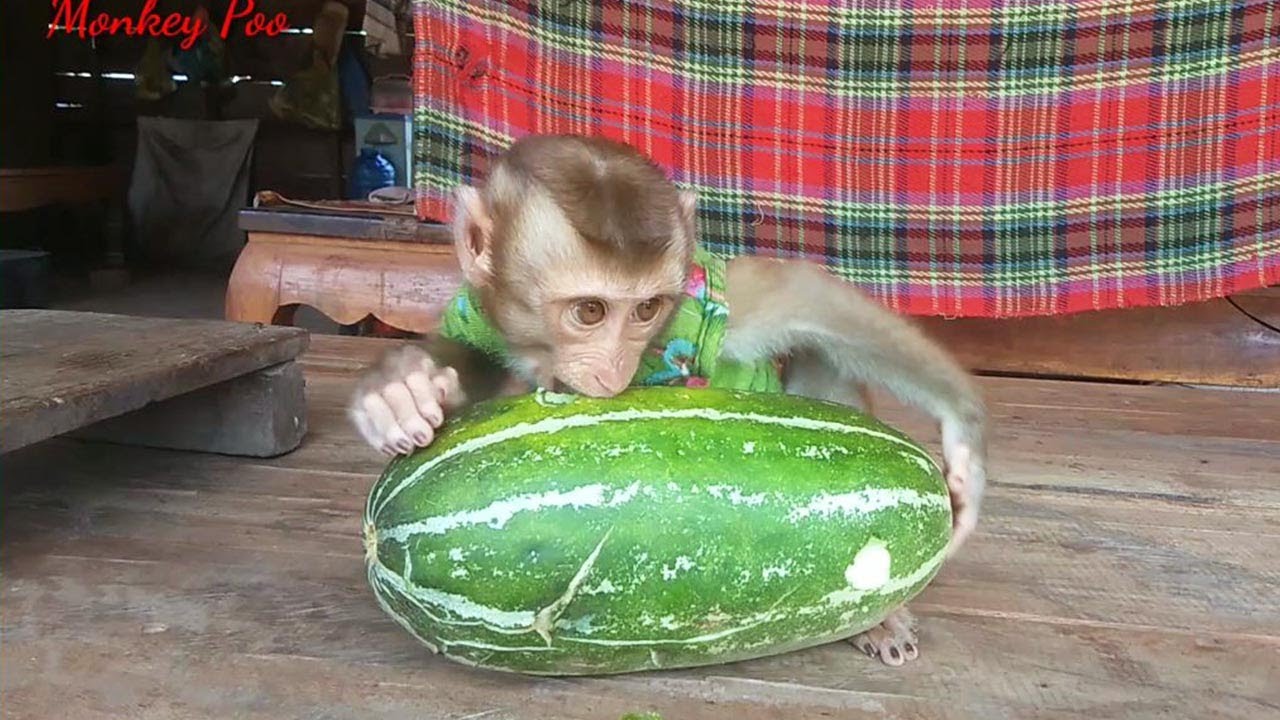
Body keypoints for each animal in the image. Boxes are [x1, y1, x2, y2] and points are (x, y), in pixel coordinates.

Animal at [349, 134, 988, 667]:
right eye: (588, 312)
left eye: (647, 311)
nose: (612, 365)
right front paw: (398, 394)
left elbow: (804, 294)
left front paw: (967, 442)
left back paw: (885, 619)